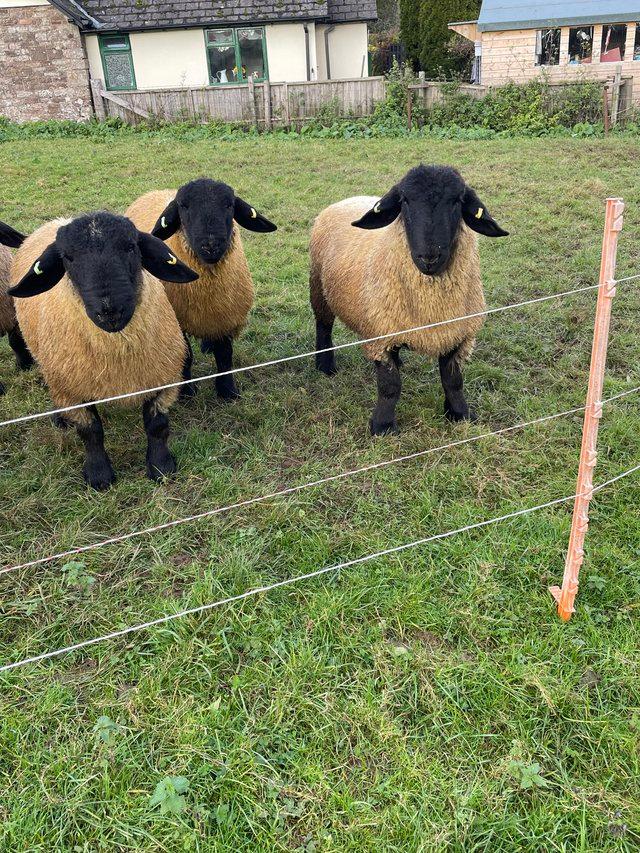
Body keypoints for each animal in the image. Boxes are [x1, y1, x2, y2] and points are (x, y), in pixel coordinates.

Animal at [9, 211, 199, 489]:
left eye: (131, 247)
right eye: (67, 257)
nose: (109, 311)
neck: (116, 350)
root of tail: (56, 220)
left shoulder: (161, 378)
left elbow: (157, 425)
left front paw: (161, 466)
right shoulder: (75, 390)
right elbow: (91, 433)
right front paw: (99, 476)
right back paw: (60, 418)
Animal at [126, 178, 276, 401]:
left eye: (229, 205)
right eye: (183, 206)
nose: (211, 246)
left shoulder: (225, 317)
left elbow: (224, 355)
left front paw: (227, 391)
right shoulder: (179, 319)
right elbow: (187, 355)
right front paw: (186, 392)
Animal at [309, 164, 508, 435]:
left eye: (457, 201)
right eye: (404, 200)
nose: (429, 256)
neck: (431, 306)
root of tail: (348, 198)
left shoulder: (457, 334)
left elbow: (453, 381)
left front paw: (460, 413)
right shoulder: (380, 336)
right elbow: (390, 386)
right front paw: (382, 426)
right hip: (319, 287)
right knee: (323, 325)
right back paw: (325, 365)